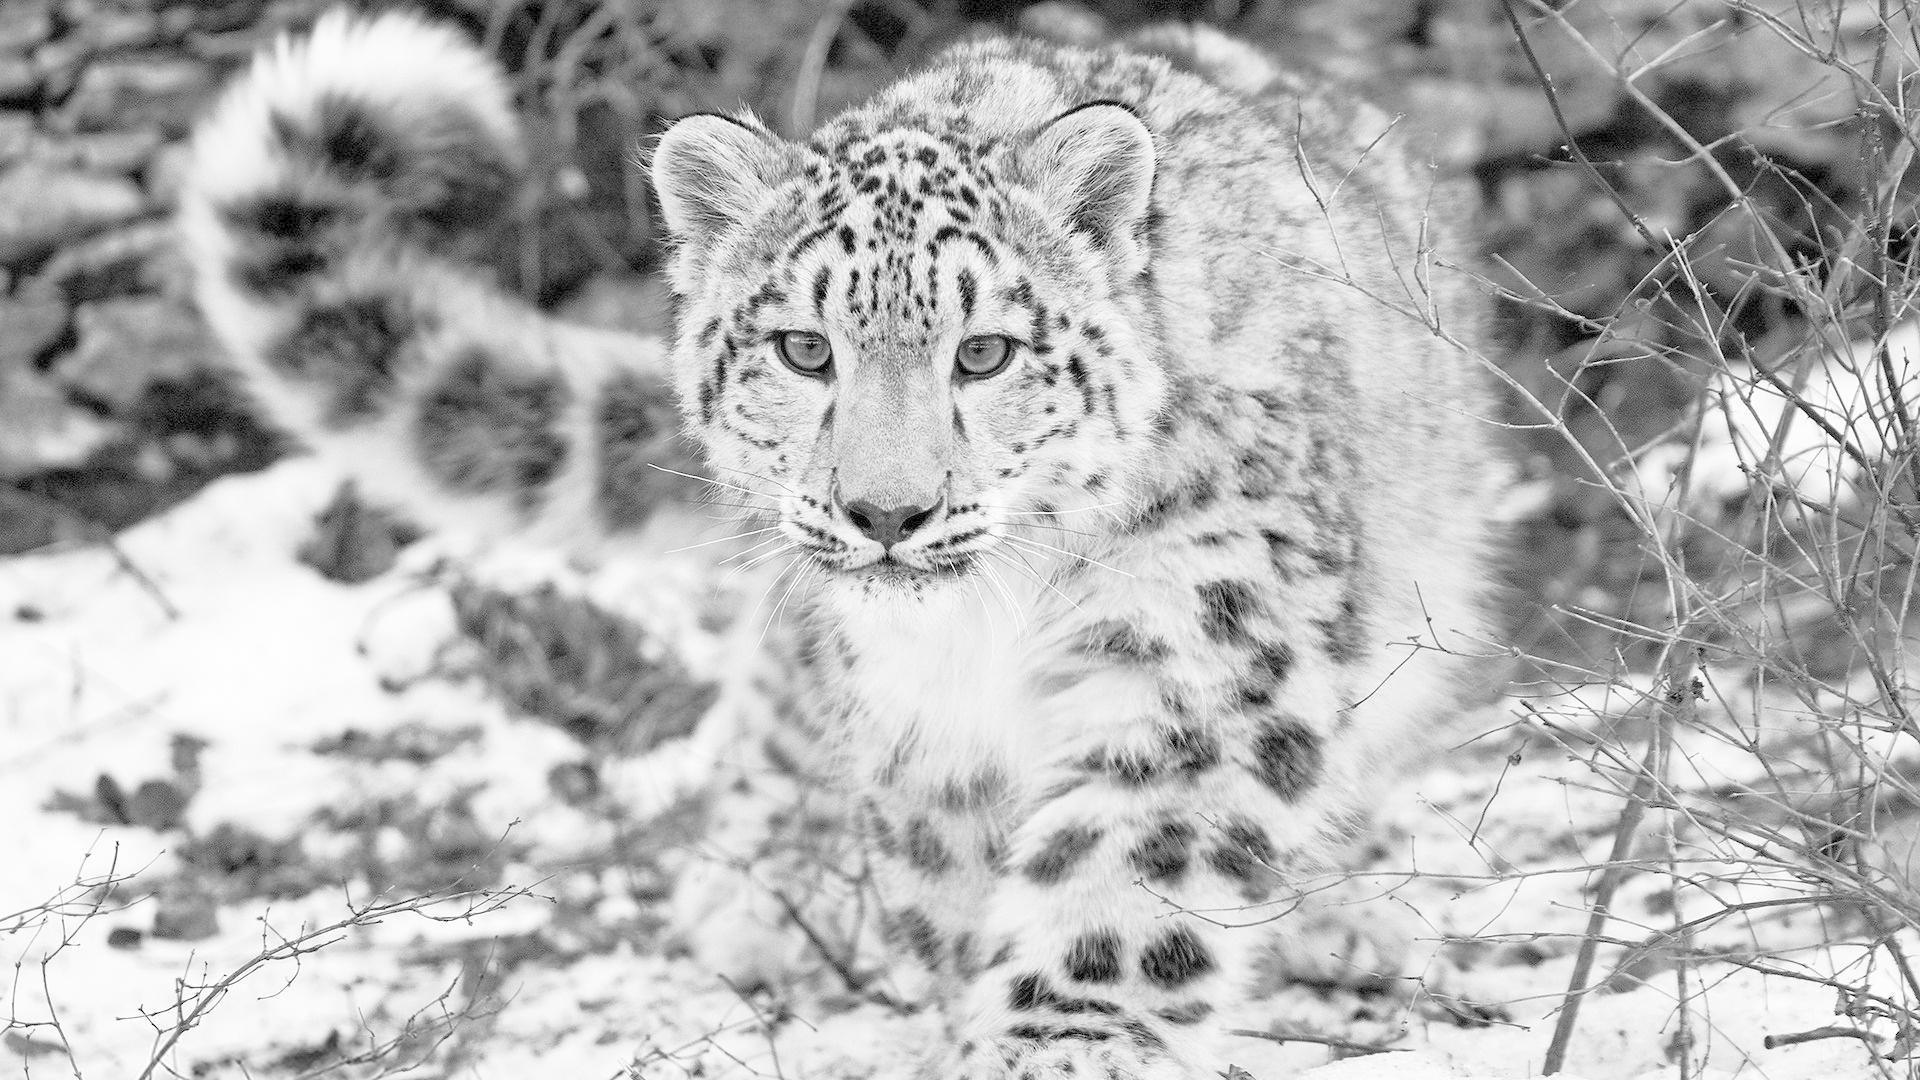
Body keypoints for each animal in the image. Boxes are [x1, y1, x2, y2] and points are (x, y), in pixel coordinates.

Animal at [178, 9, 1501, 1078]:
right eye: (805, 349)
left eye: (986, 353)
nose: (885, 513)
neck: (989, 628)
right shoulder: (921, 729)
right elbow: (956, 880)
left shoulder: (1197, 645)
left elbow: (1126, 873)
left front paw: (1058, 1046)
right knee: (773, 702)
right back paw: (762, 894)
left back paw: (1345, 917)